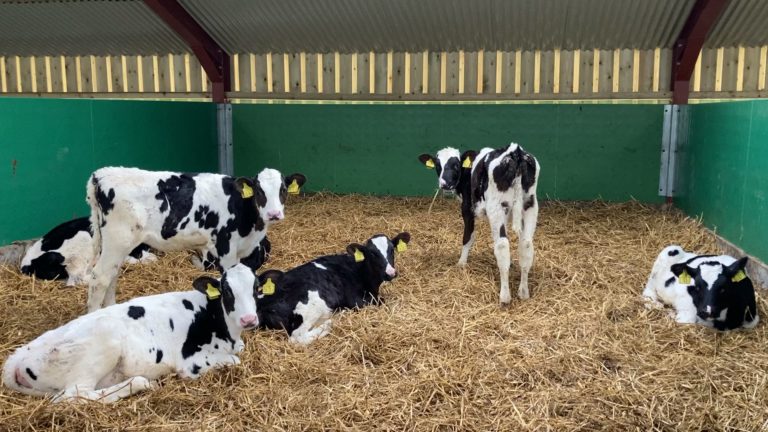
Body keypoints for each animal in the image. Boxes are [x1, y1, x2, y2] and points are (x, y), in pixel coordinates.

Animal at [2, 264, 259, 403]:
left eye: (256, 288)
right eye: (227, 290)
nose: (249, 319)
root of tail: (18, 357)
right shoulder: (191, 362)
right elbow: (234, 360)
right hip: (102, 345)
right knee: (74, 396)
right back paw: (140, 383)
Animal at [85, 166, 306, 312]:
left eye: (283, 190)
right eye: (259, 190)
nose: (274, 214)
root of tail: (101, 174)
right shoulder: (225, 248)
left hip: (117, 244)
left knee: (112, 275)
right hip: (118, 239)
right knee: (100, 277)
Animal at [255, 232, 411, 345]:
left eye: (392, 250)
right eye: (373, 253)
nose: (390, 273)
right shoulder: (357, 301)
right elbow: (384, 302)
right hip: (310, 307)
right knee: (297, 338)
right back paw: (328, 324)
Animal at [418, 143, 540, 304]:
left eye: (456, 165)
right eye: (438, 165)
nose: (445, 184)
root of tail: (516, 151)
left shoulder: (467, 208)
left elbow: (468, 237)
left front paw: (461, 263)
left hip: (496, 206)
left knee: (502, 245)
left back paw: (505, 296)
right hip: (530, 204)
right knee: (526, 243)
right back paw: (523, 292)